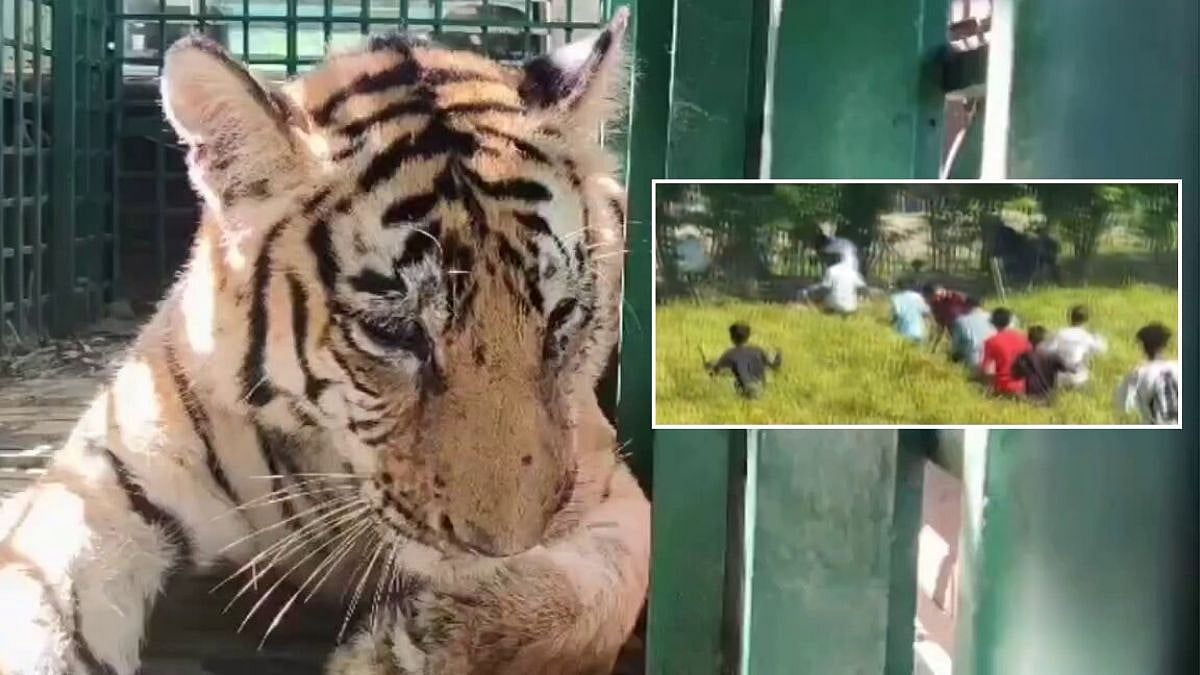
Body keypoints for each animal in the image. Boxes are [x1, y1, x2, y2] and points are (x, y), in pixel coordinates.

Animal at [0, 8, 649, 675]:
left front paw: (404, 645)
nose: (501, 546)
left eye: (562, 314)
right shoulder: (101, 482)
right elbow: (35, 599)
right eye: (394, 331)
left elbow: (591, 600)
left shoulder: (612, 493)